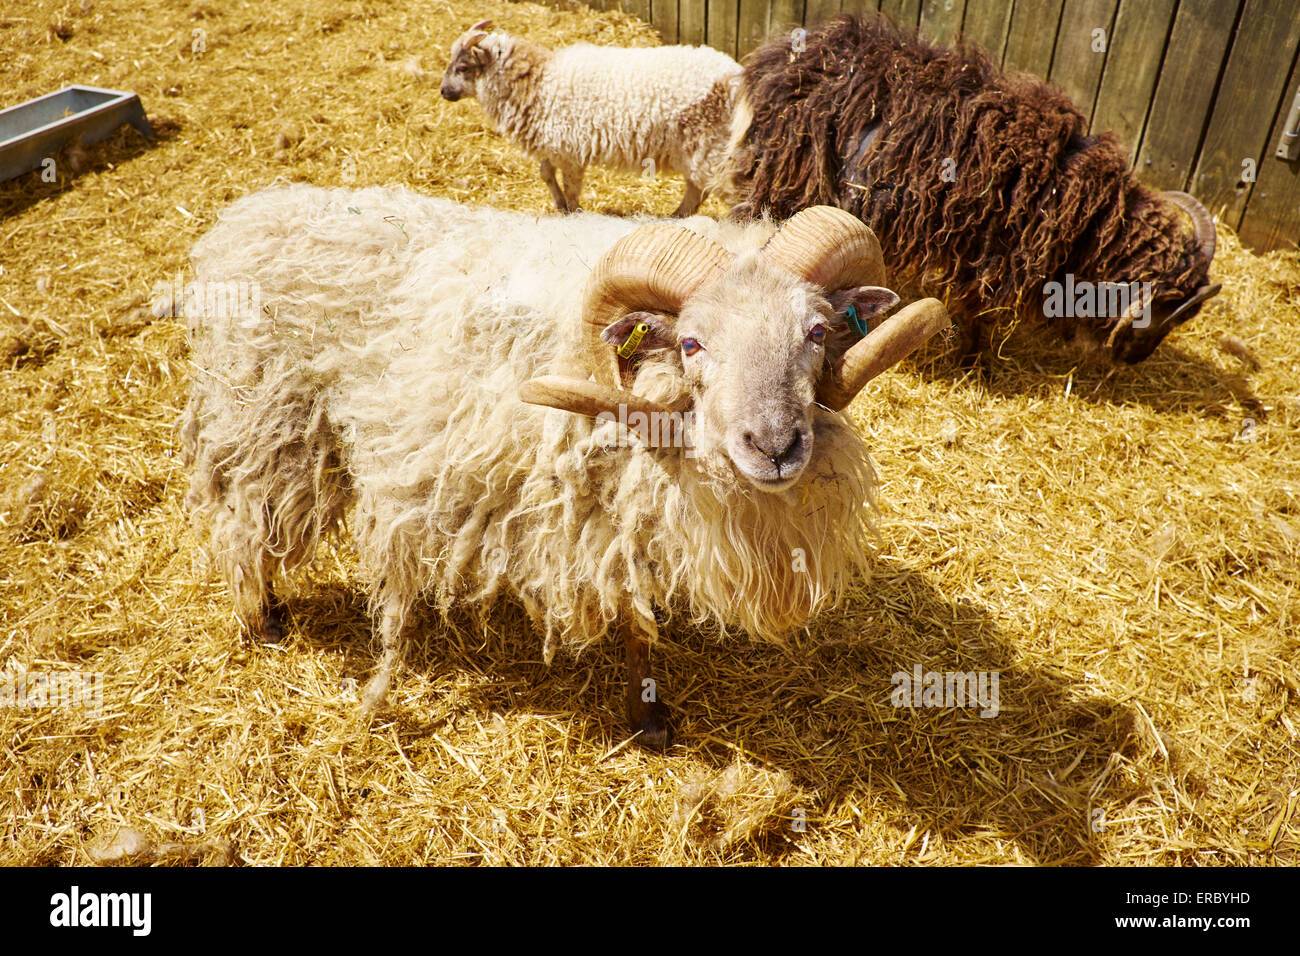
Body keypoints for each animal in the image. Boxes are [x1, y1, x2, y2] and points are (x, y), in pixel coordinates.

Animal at [180, 183, 948, 748]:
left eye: (816, 332)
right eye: (693, 343)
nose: (776, 446)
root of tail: (248, 213)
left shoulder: (631, 512)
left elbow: (639, 619)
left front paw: (647, 718)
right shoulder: (601, 510)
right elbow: (633, 610)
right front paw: (646, 719)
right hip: (268, 421)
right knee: (247, 516)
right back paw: (263, 616)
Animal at [439, 20, 741, 217]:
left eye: (463, 66)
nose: (443, 91)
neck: (537, 82)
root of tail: (733, 77)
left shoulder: (570, 151)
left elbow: (571, 187)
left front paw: (574, 211)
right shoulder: (554, 147)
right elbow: (546, 174)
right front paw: (560, 206)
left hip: (708, 145)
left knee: (725, 188)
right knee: (698, 190)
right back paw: (675, 217)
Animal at [721, 15, 1222, 365]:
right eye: (1171, 311)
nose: (1133, 359)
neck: (1088, 216)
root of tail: (776, 61)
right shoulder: (983, 248)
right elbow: (974, 308)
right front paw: (974, 359)